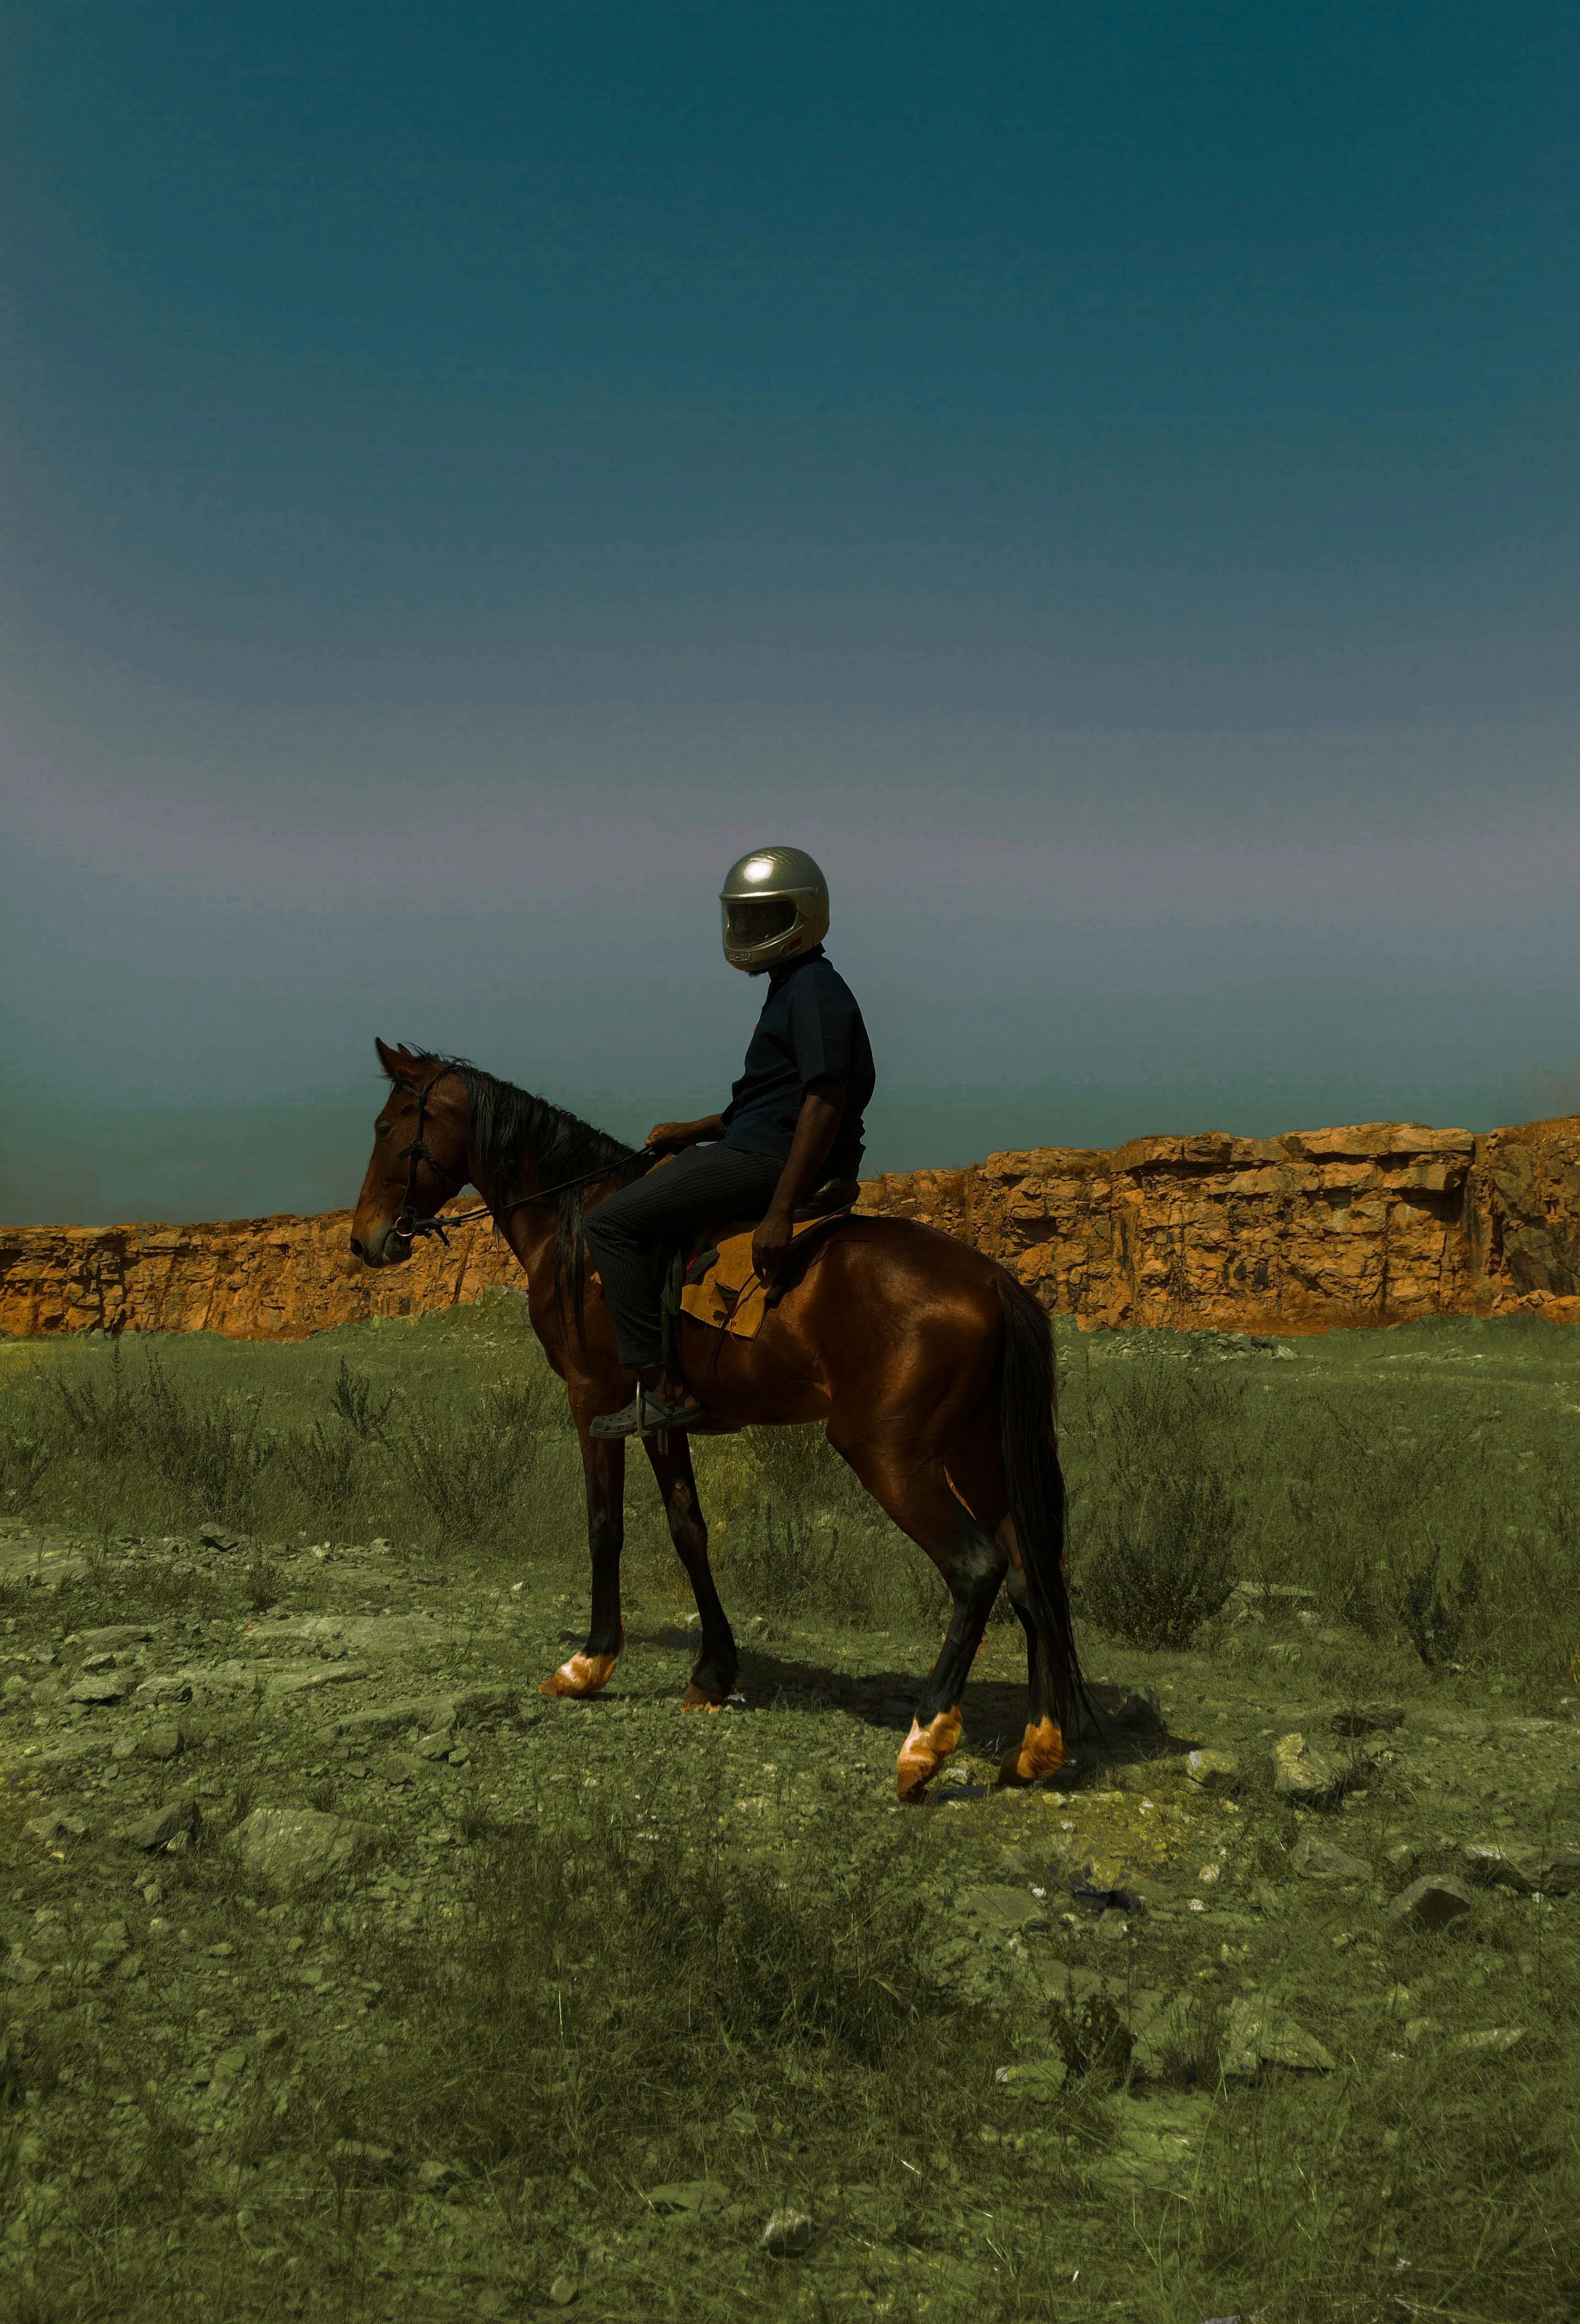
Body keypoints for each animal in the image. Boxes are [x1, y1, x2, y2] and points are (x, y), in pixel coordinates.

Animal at [349, 1039, 1089, 1800]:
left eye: (386, 1127)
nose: (364, 1240)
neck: (576, 1229)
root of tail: (992, 1281)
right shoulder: (659, 1413)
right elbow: (689, 1530)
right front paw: (711, 1671)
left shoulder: (593, 1399)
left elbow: (604, 1527)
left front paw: (588, 1663)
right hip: (979, 1452)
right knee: (1033, 1570)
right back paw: (1037, 1746)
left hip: (888, 1452)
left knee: (977, 1567)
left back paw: (924, 1742)